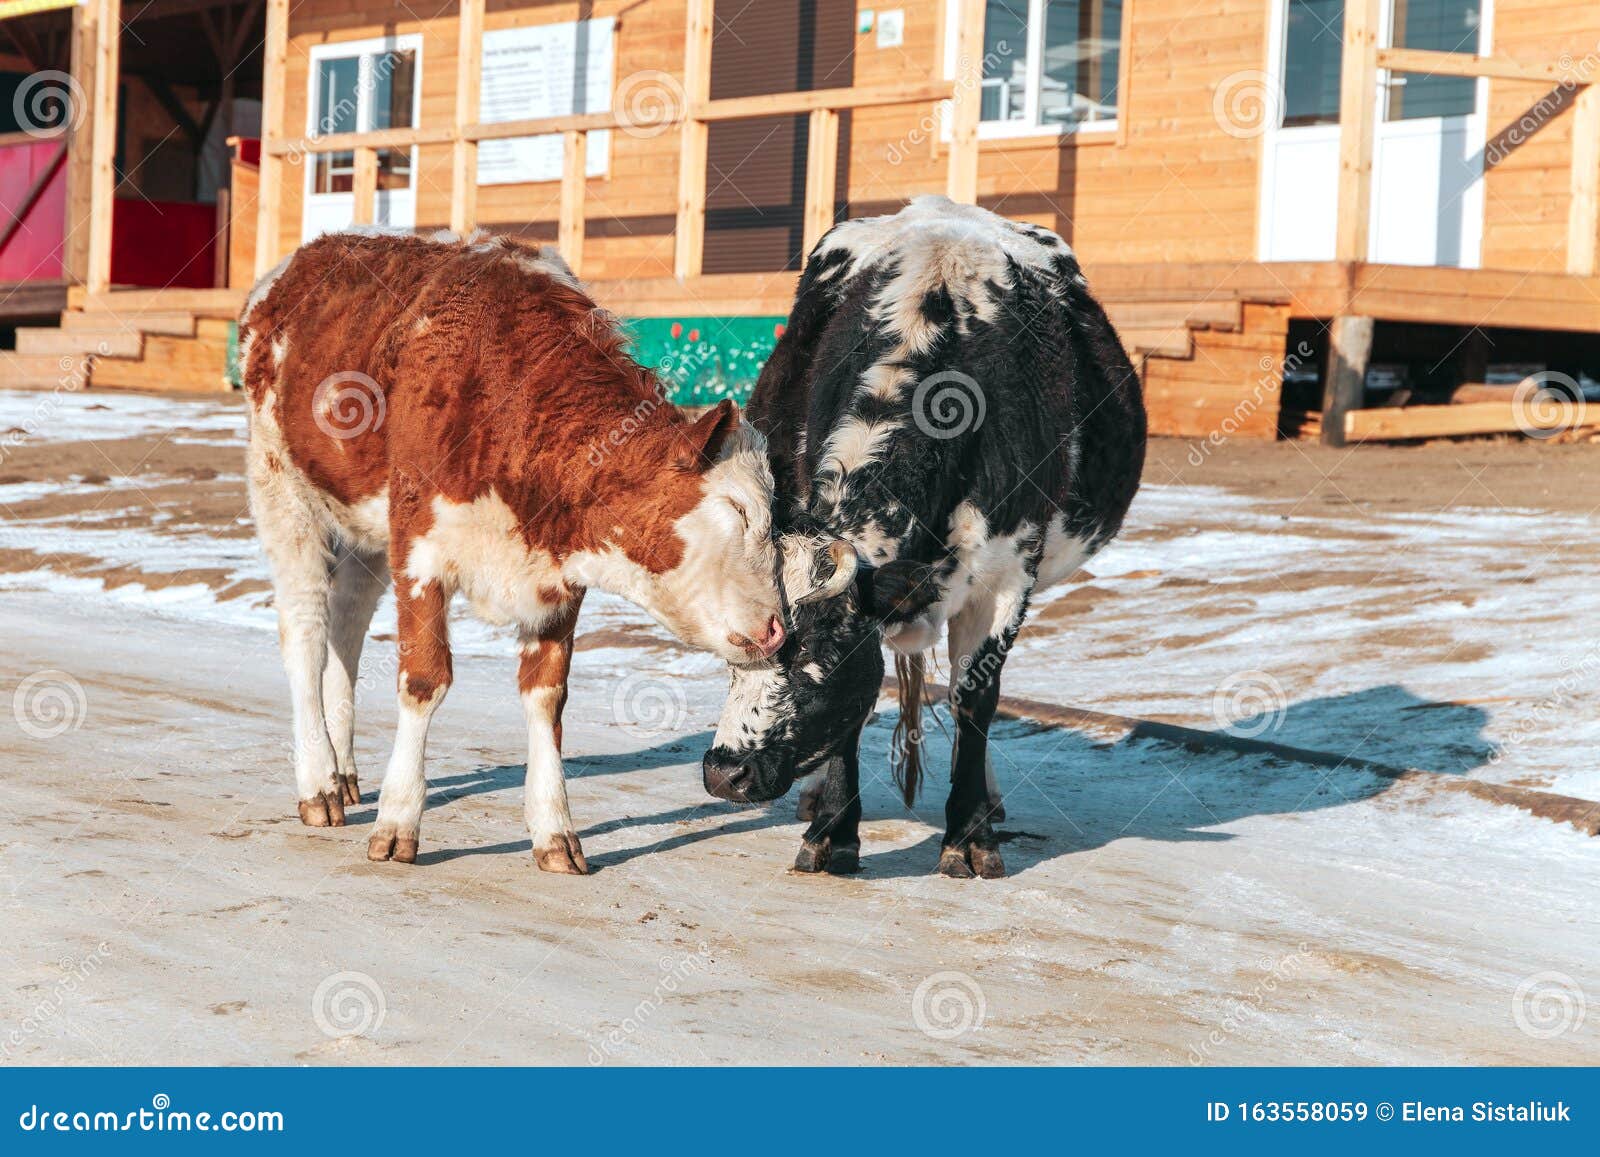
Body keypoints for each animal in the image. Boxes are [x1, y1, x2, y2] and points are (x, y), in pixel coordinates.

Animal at [240, 228, 831, 874]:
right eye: (739, 510)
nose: (778, 630)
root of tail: (314, 253)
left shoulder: (558, 579)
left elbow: (548, 698)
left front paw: (555, 830)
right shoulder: (419, 551)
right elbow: (424, 680)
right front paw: (399, 820)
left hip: (363, 529)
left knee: (346, 628)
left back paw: (345, 771)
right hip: (283, 492)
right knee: (305, 631)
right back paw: (319, 781)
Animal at [702, 196, 1147, 879]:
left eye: (819, 654)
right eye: (734, 652)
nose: (725, 773)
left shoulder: (1005, 579)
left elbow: (975, 698)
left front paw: (969, 836)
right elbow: (856, 714)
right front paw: (833, 833)